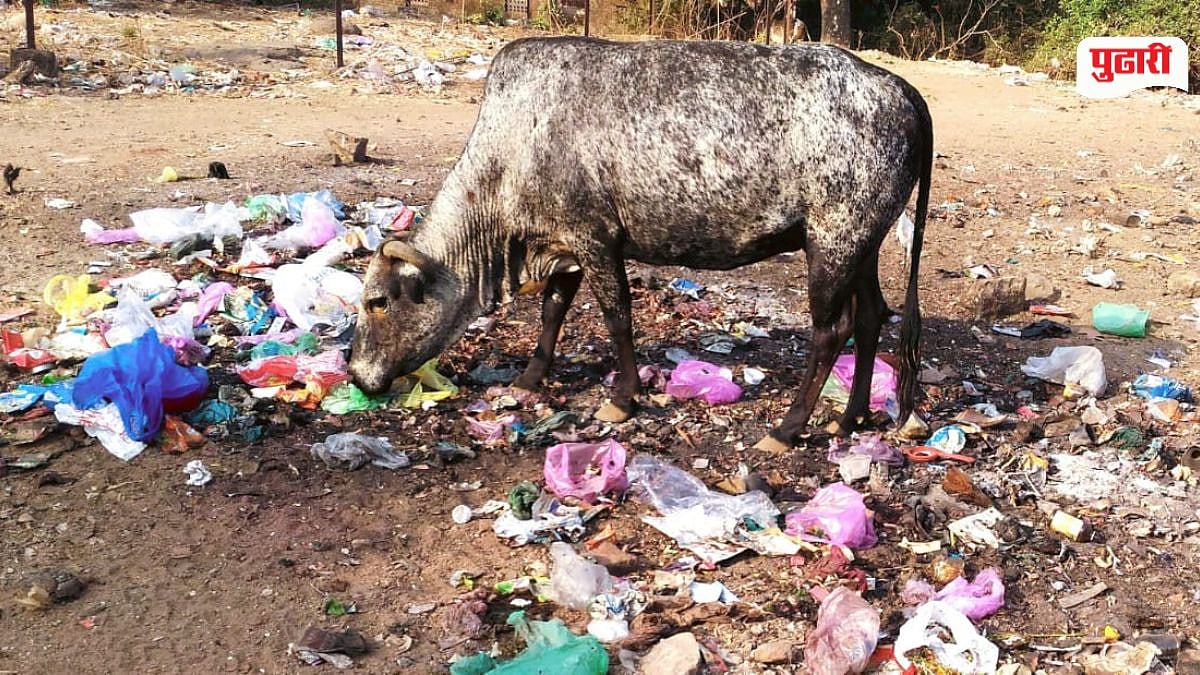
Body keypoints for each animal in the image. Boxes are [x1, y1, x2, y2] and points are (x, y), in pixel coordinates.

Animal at [349, 36, 932, 451]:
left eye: (377, 302)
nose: (357, 375)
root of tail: (901, 90)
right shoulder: (566, 246)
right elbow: (553, 310)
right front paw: (531, 378)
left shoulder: (596, 238)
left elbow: (617, 317)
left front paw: (623, 399)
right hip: (863, 245)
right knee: (872, 316)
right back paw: (850, 417)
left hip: (833, 241)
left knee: (831, 330)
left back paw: (788, 428)